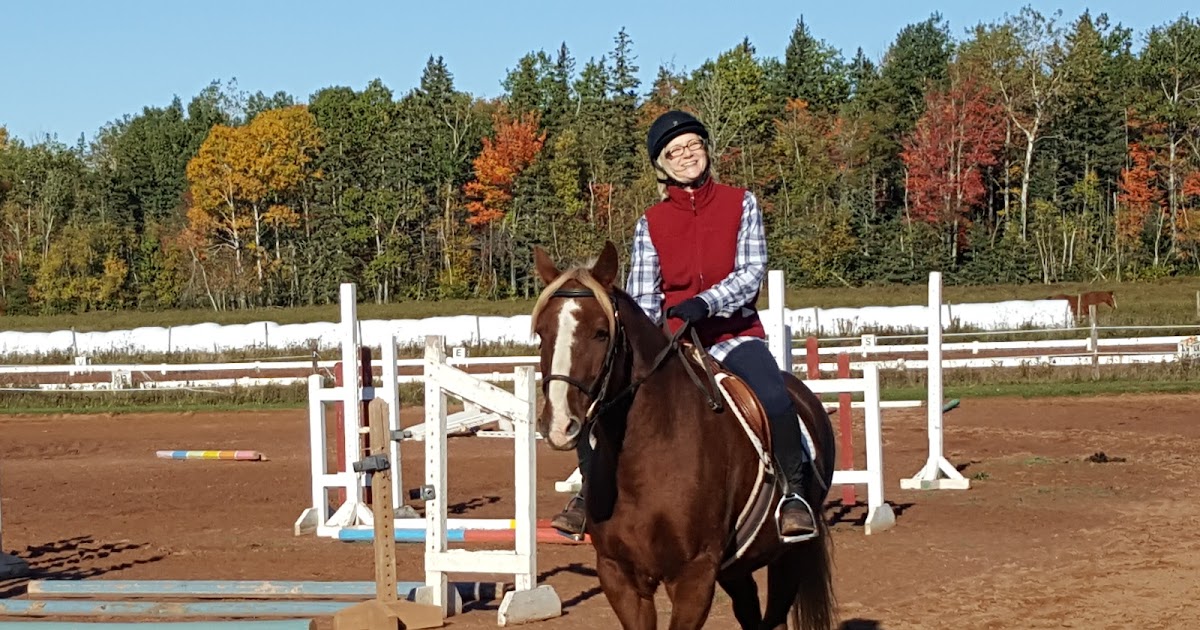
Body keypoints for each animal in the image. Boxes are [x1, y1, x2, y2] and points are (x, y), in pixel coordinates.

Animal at [530, 241, 837, 630]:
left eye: (601, 332)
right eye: (542, 333)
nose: (558, 423)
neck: (646, 460)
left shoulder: (695, 575)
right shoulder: (619, 575)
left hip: (788, 557)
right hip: (737, 567)